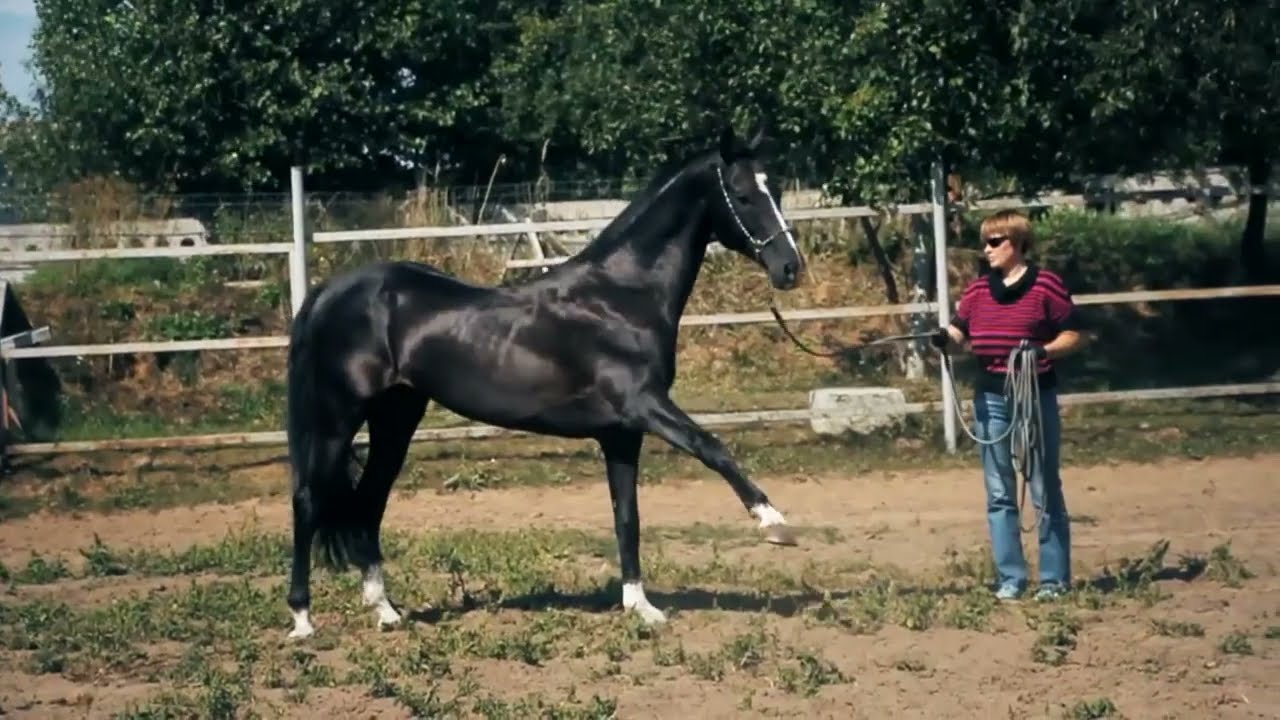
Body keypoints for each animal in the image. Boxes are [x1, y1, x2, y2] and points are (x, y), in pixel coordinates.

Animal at [283, 122, 807, 639]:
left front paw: (640, 607)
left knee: (370, 500)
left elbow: (627, 516)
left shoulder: (622, 434)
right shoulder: (644, 404)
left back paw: (385, 612)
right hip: (338, 416)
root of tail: (330, 292)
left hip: (396, 416)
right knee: (309, 500)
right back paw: (303, 620)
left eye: (777, 190)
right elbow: (711, 446)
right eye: (742, 195)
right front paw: (774, 524)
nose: (791, 268)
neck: (621, 298)